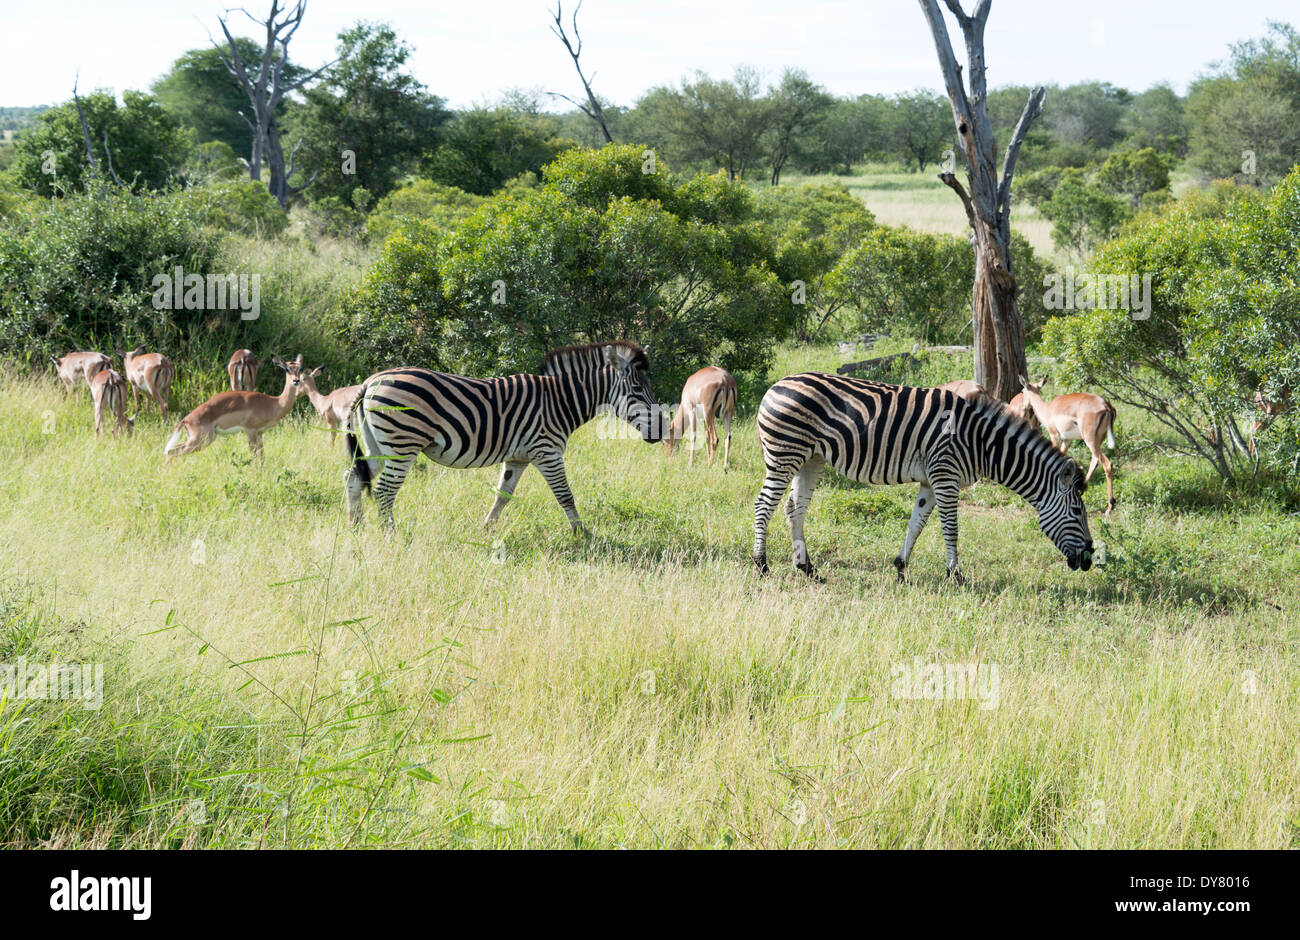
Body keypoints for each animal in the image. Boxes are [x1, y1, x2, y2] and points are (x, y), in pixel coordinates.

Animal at [165, 355, 307, 460]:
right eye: (287, 369)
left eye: (300, 369)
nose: (296, 381)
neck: (273, 403)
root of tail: (186, 420)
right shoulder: (250, 431)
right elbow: (254, 456)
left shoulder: (260, 433)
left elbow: (262, 457)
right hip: (201, 440)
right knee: (171, 452)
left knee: (170, 451)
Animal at [344, 341, 663, 531]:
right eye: (638, 391)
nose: (661, 430)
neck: (560, 400)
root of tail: (371, 381)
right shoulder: (547, 452)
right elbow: (565, 494)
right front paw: (582, 534)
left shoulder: (518, 458)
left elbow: (503, 495)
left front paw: (486, 529)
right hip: (402, 444)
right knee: (385, 490)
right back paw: (391, 536)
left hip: (376, 444)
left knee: (353, 478)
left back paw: (356, 528)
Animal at [752, 372, 1095, 583]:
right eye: (1077, 512)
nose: (1090, 559)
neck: (981, 442)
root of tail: (775, 386)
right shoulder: (945, 475)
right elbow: (951, 529)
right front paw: (956, 577)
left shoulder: (932, 481)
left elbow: (915, 525)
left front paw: (901, 569)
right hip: (785, 454)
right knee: (763, 505)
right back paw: (761, 565)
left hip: (811, 459)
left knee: (794, 509)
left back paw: (807, 568)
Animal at [1018, 375, 1116, 514]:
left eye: (1022, 391)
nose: (1022, 410)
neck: (1048, 409)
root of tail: (1106, 405)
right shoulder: (1067, 440)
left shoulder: (1054, 436)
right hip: (1096, 442)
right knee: (1094, 462)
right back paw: (1081, 490)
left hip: (1090, 441)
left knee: (1107, 465)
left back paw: (1109, 508)